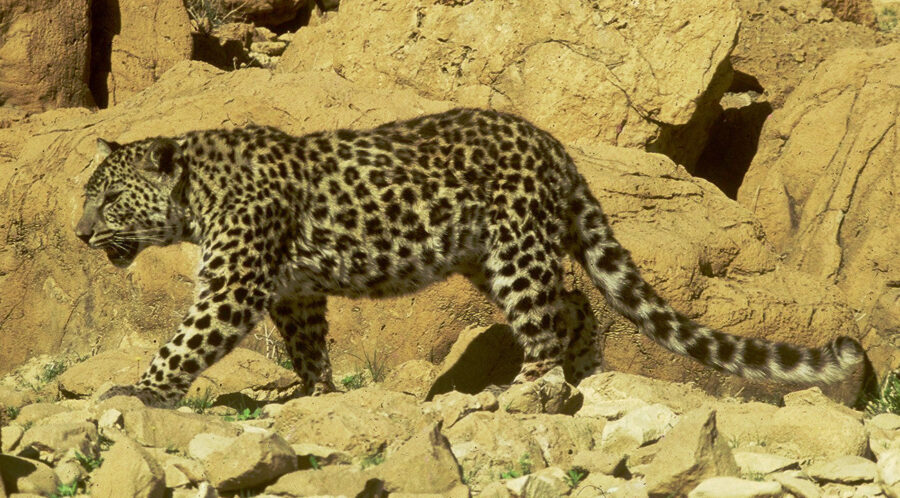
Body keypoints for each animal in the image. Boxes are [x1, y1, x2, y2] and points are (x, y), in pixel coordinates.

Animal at [75, 108, 864, 407]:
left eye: (108, 200)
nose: (80, 235)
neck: (197, 194)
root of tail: (553, 144)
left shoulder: (233, 284)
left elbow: (186, 341)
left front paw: (138, 392)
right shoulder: (294, 290)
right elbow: (306, 344)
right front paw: (314, 393)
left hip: (514, 250)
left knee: (546, 317)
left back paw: (527, 389)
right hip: (487, 257)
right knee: (574, 301)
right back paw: (579, 373)